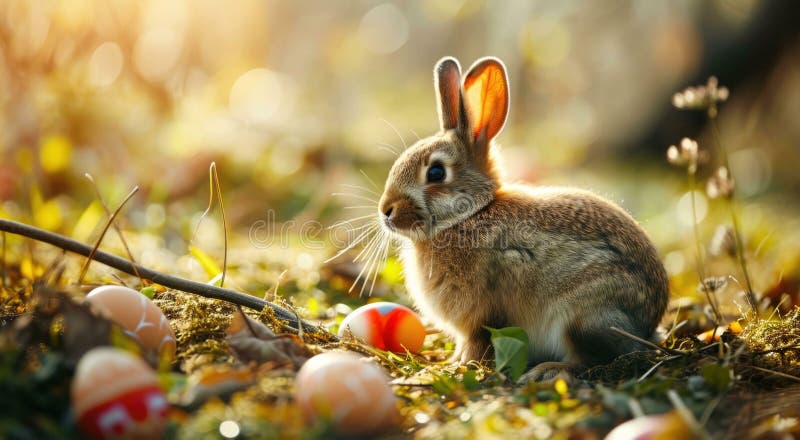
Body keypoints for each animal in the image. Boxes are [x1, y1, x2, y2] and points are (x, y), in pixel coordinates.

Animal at [377, 56, 669, 377]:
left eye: (436, 172)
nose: (386, 211)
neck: (470, 215)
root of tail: (647, 326)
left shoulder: (483, 316)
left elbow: (477, 344)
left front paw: (457, 367)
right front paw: (449, 361)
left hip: (580, 316)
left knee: (591, 359)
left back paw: (547, 370)